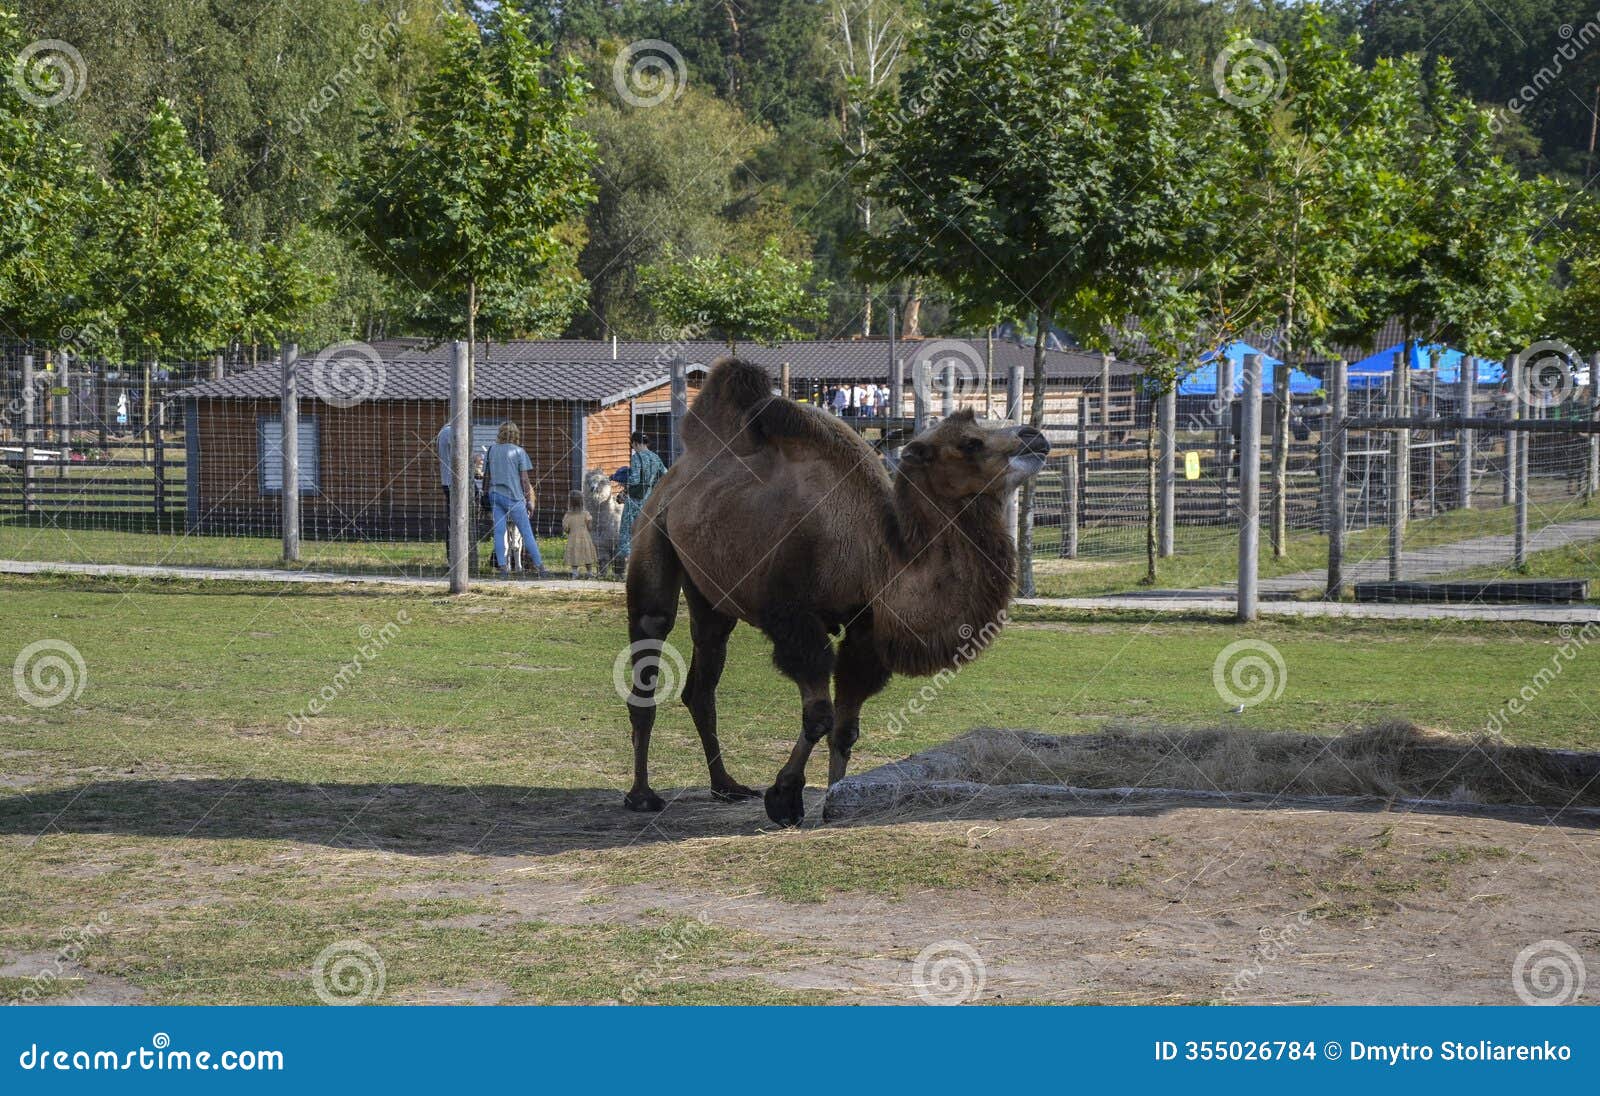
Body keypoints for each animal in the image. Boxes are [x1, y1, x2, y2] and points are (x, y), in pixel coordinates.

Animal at [621, 358, 1051, 825]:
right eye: (970, 442)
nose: (1036, 437)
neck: (871, 554)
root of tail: (677, 472)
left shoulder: (866, 627)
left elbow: (846, 728)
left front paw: (837, 798)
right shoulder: (794, 620)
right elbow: (819, 717)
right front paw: (784, 797)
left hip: (710, 590)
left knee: (703, 675)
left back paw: (726, 786)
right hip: (653, 534)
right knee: (650, 642)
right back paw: (641, 795)